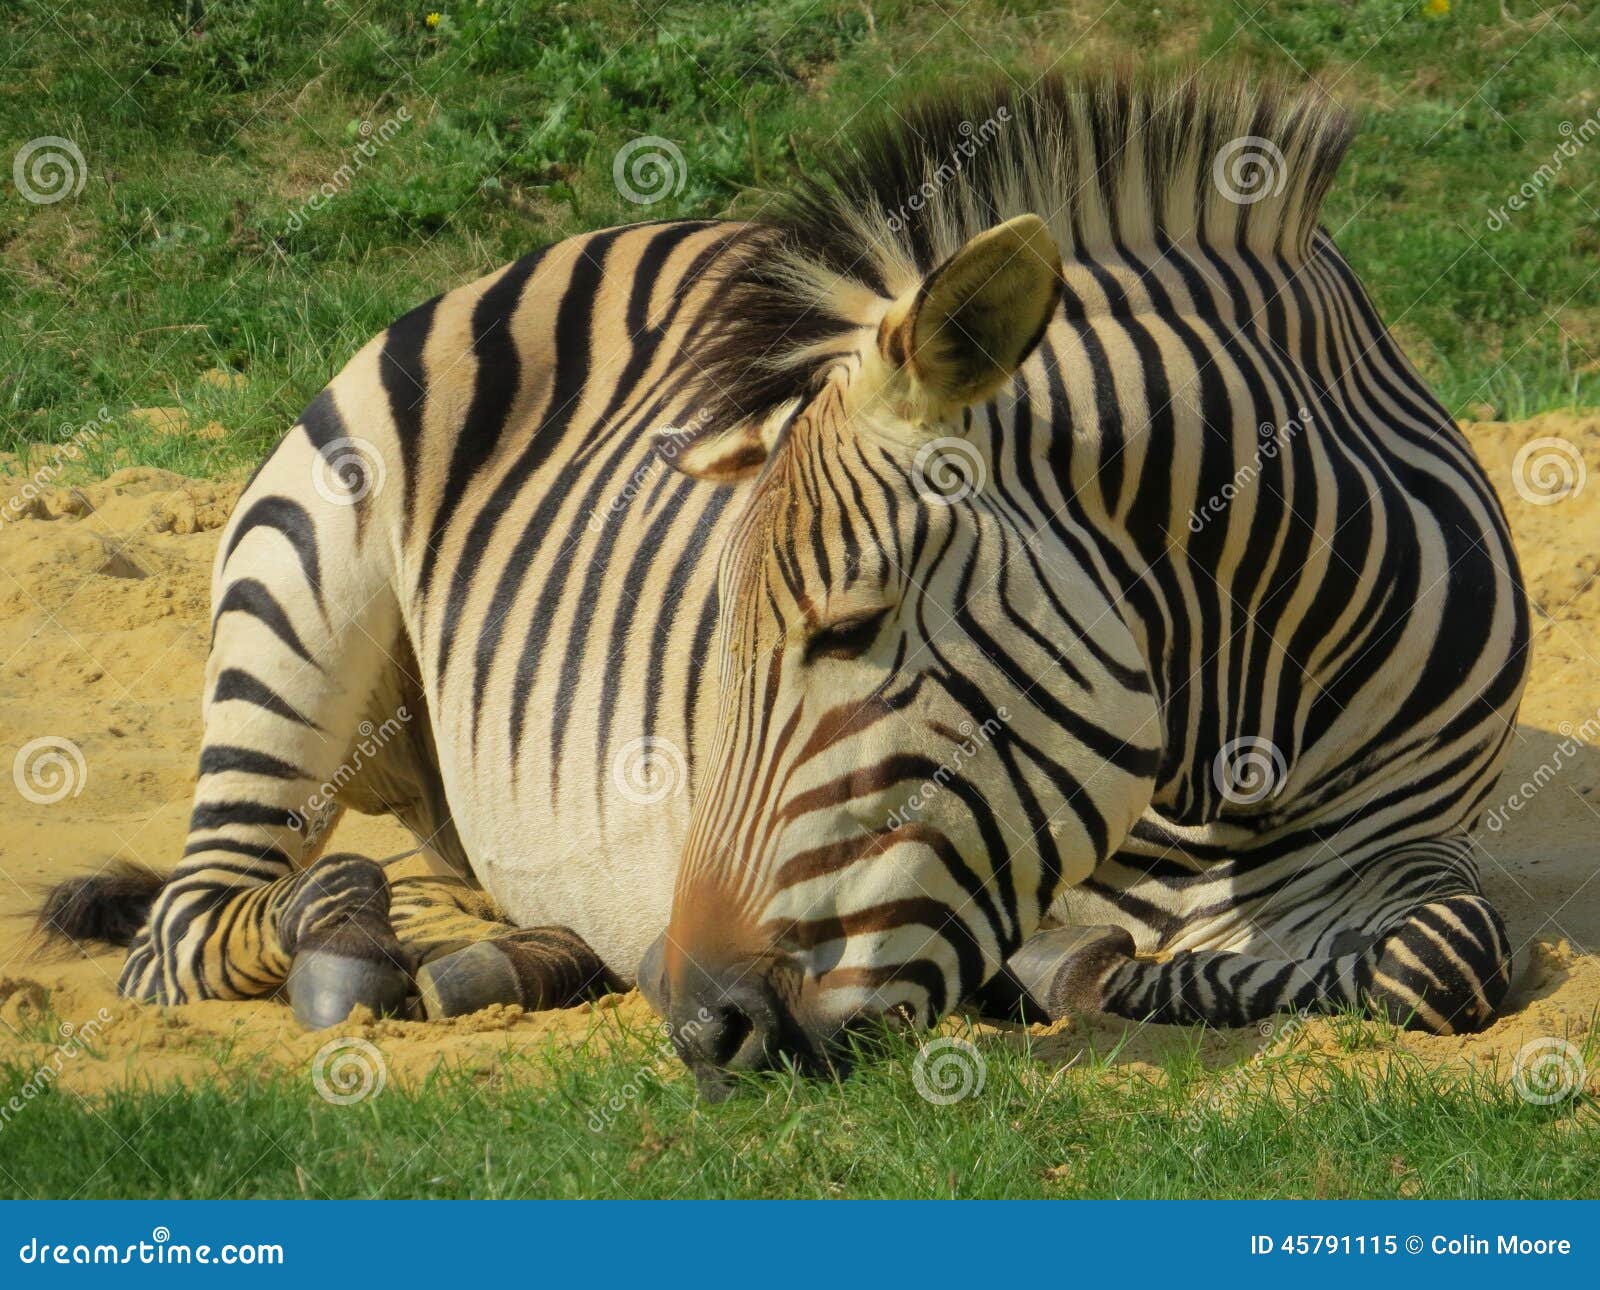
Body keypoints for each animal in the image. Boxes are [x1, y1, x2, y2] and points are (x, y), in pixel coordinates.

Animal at [41, 71, 1530, 1096]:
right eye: (715, 649)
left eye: (853, 628)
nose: (710, 1029)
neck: (1236, 729)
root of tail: (560, 241)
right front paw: (1098, 969)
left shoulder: (1422, 845)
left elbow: (1442, 957)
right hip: (296, 598)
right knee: (191, 921)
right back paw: (352, 937)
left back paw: (495, 953)